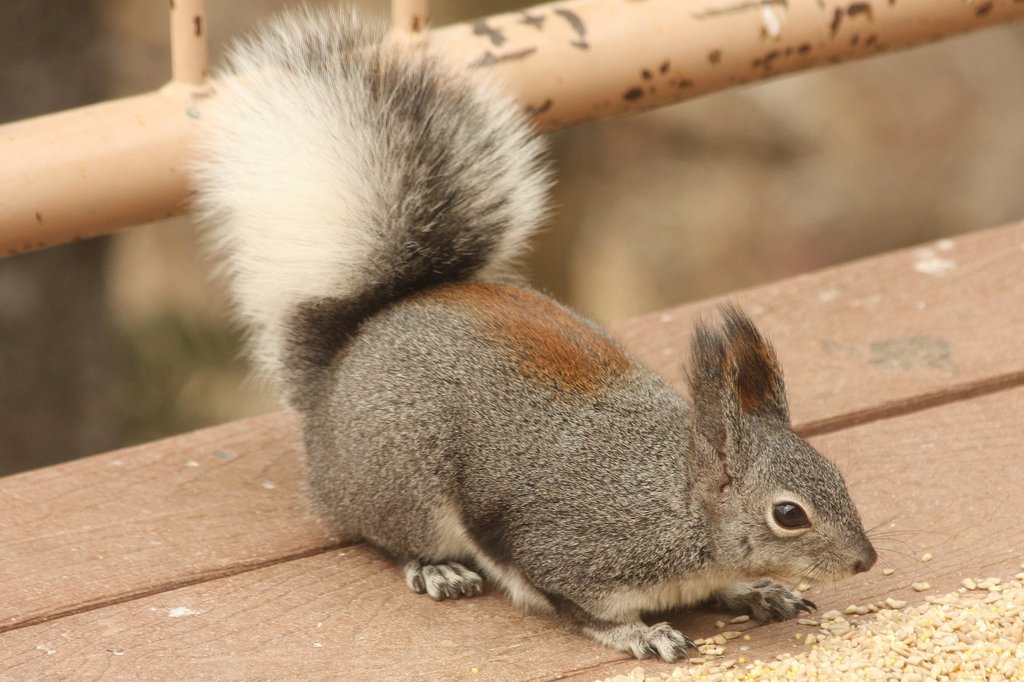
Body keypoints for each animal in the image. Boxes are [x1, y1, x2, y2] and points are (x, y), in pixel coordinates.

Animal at [192, 7, 877, 662]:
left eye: (835, 471)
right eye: (788, 514)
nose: (864, 560)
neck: (678, 500)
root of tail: (345, 360)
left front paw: (757, 589)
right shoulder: (567, 554)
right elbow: (581, 611)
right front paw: (641, 635)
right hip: (402, 484)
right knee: (390, 537)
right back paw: (435, 568)